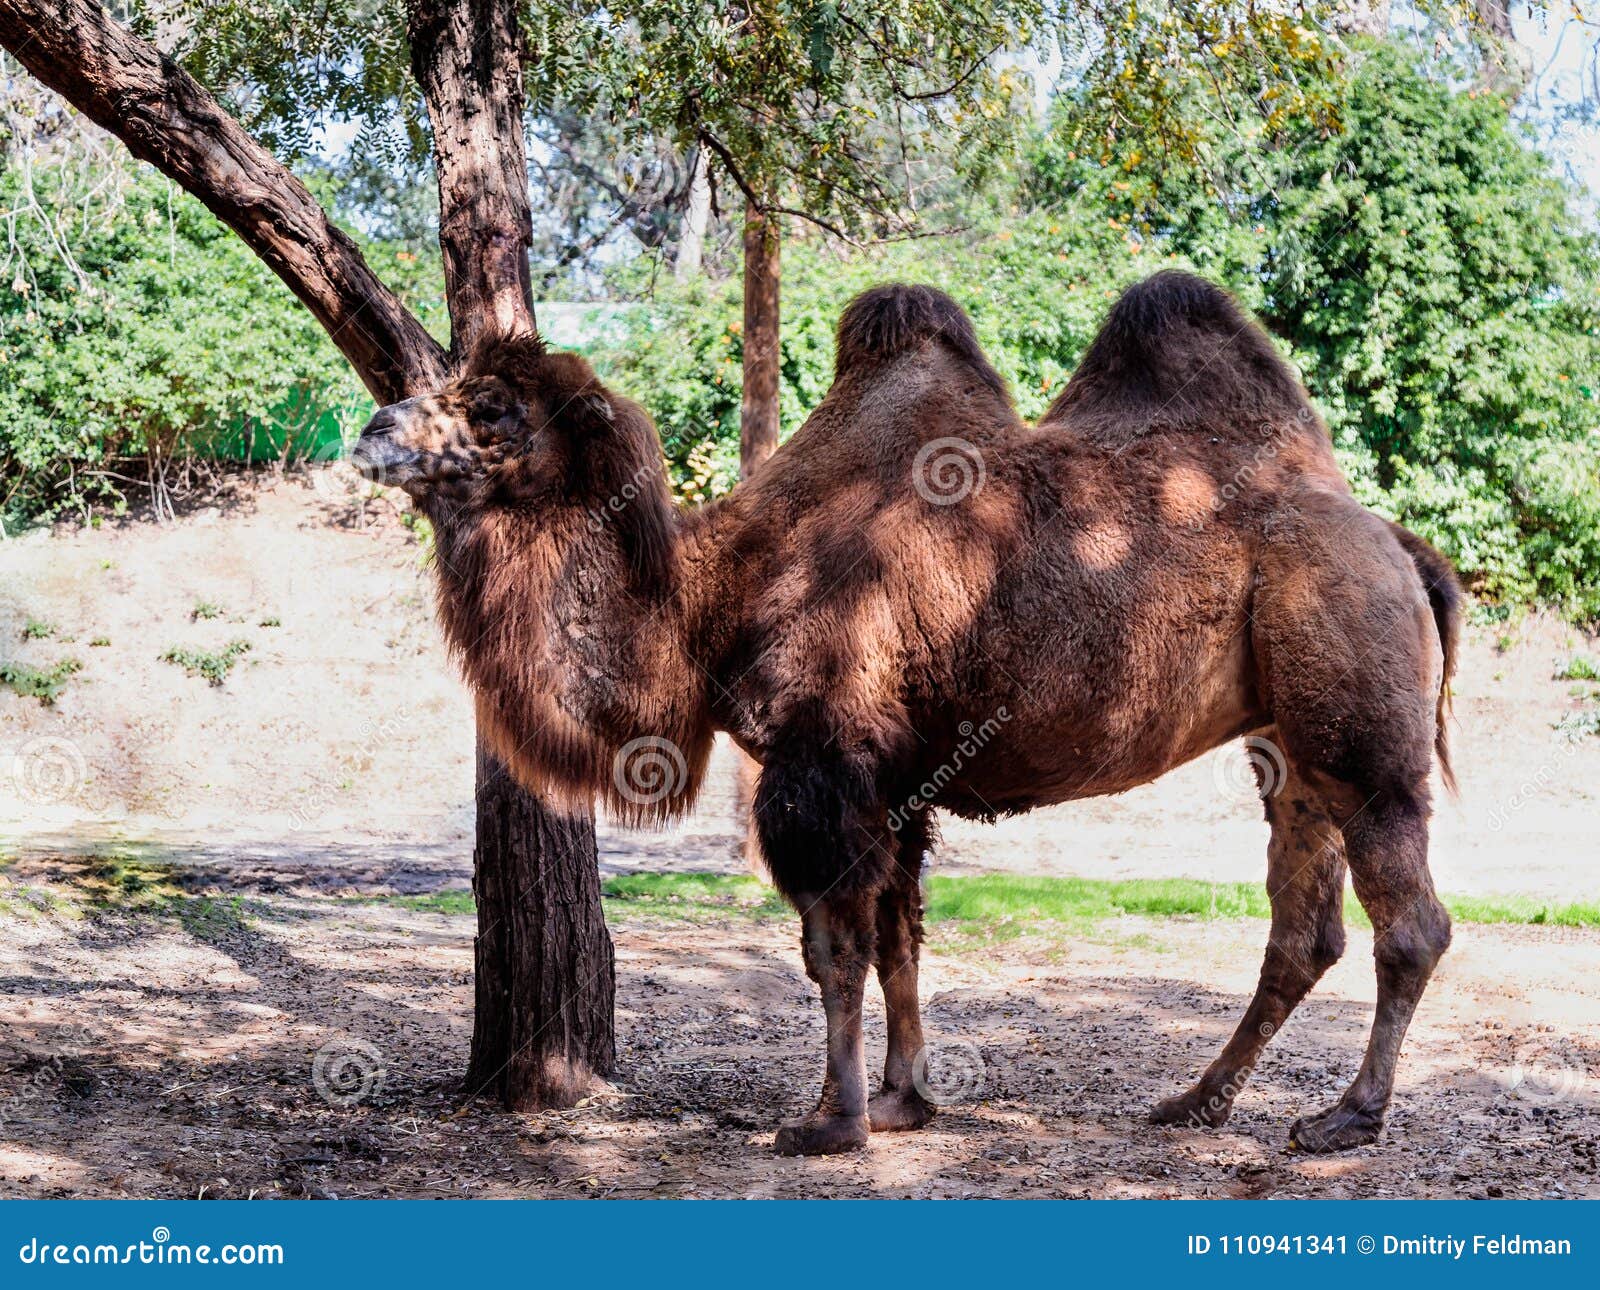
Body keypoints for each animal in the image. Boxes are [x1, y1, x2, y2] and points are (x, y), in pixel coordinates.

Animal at [352, 270, 1461, 1157]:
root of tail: (1402, 548)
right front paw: (900, 1102)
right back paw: (1195, 1102)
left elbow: (832, 945)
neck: (715, 598)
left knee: (1409, 916)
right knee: (1302, 929)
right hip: (1287, 740)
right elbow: (899, 937)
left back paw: (1346, 1119)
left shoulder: (822, 760)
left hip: (1355, 702)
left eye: (495, 410)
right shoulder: (894, 779)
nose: (371, 430)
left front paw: (829, 1122)